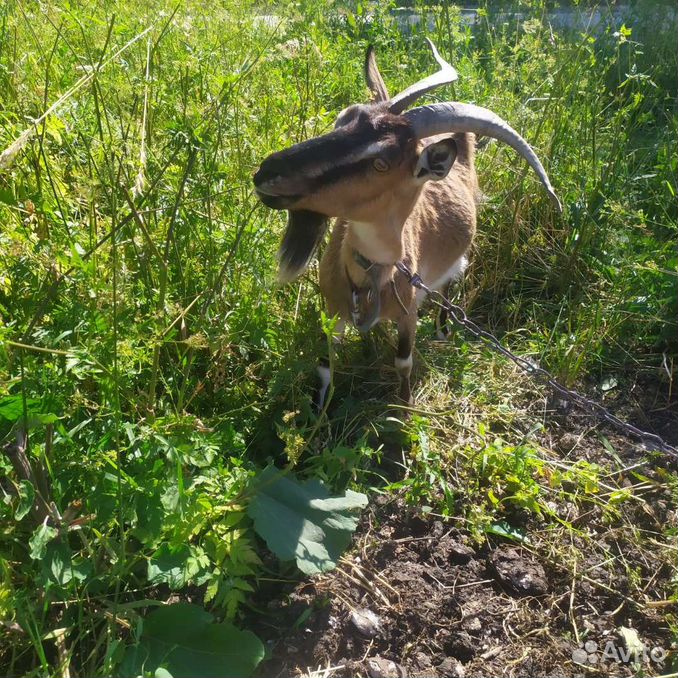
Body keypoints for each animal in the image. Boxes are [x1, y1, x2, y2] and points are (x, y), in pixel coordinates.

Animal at [253, 41, 560, 407]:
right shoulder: (334, 309)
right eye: (344, 117)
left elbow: (403, 362)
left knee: (449, 281)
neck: (369, 279)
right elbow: (325, 364)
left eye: (382, 162)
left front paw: (403, 407)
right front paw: (316, 410)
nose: (268, 172)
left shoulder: (408, 312)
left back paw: (443, 330)